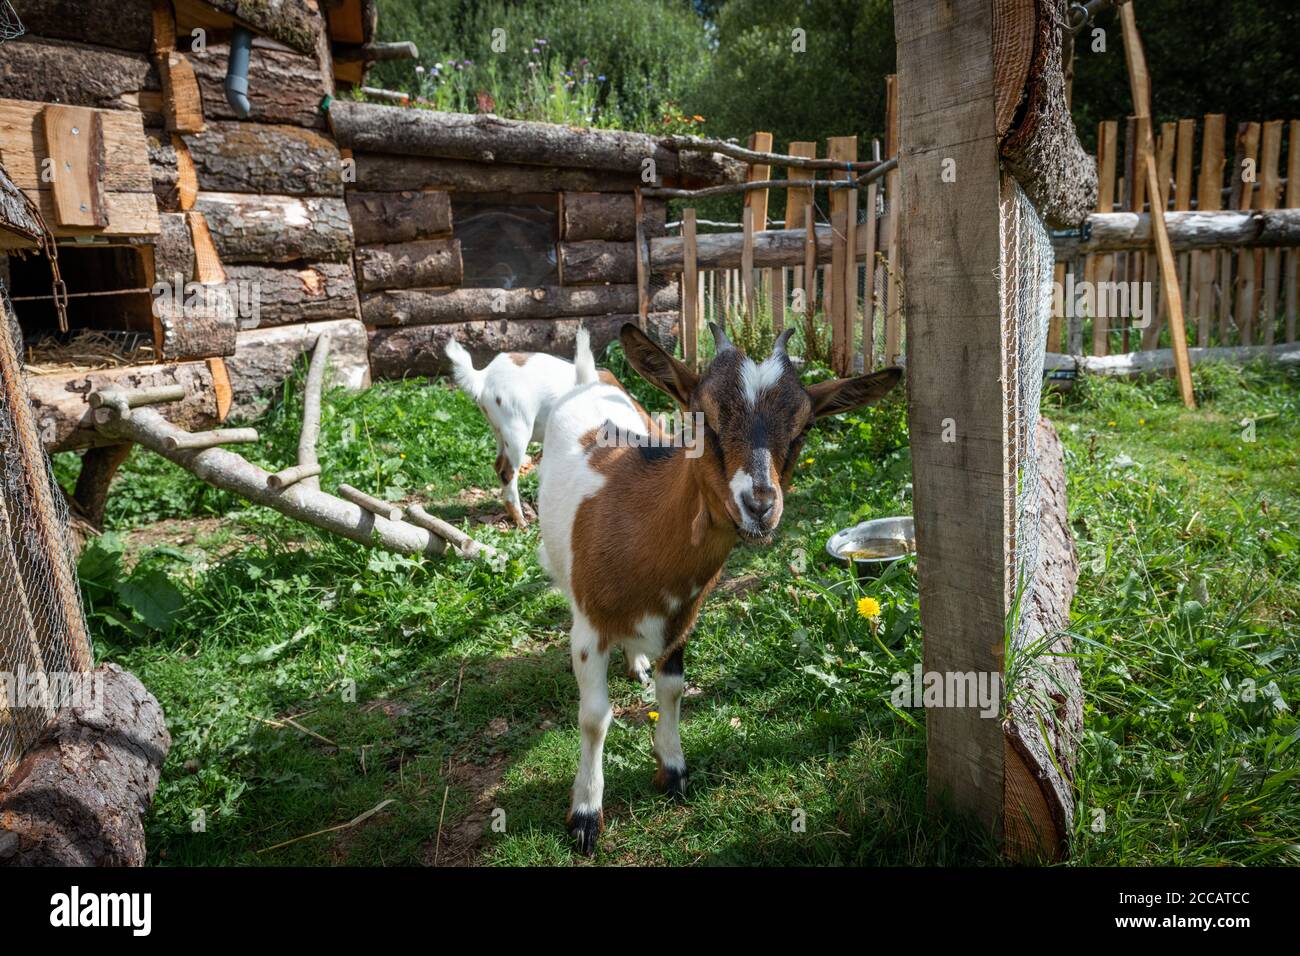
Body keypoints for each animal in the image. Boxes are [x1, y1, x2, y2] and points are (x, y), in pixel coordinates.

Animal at [537, 322, 902, 854]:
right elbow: (595, 716)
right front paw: (585, 814)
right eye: (702, 418)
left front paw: (673, 771)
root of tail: (587, 378)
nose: (760, 505)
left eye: (804, 428)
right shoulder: (589, 627)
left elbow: (673, 689)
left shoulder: (682, 617)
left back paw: (637, 662)